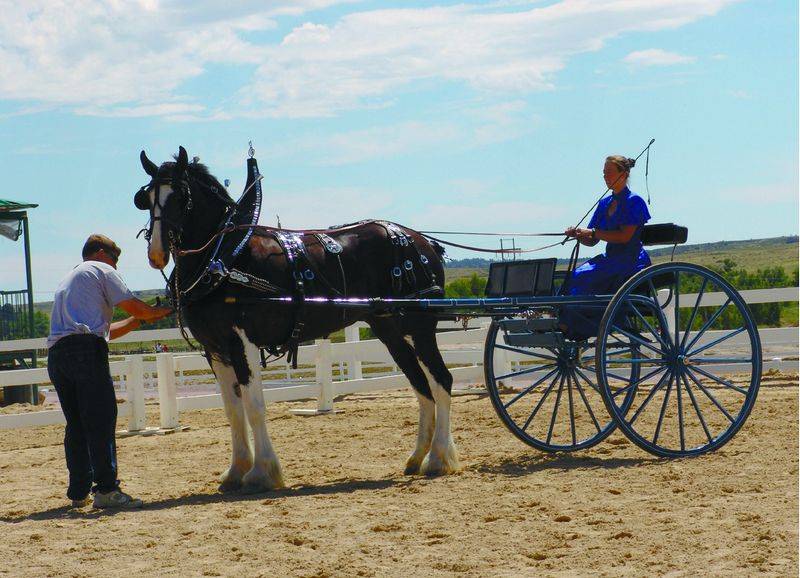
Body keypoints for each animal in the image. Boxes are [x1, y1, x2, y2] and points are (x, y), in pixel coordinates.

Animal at [134, 146, 460, 492]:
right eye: (147, 197)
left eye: (181, 196)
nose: (156, 254)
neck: (225, 256)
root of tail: (419, 240)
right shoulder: (216, 349)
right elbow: (233, 411)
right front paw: (236, 470)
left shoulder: (242, 341)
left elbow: (254, 407)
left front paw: (262, 472)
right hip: (389, 329)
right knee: (421, 386)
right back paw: (418, 457)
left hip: (419, 326)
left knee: (441, 380)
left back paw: (438, 458)